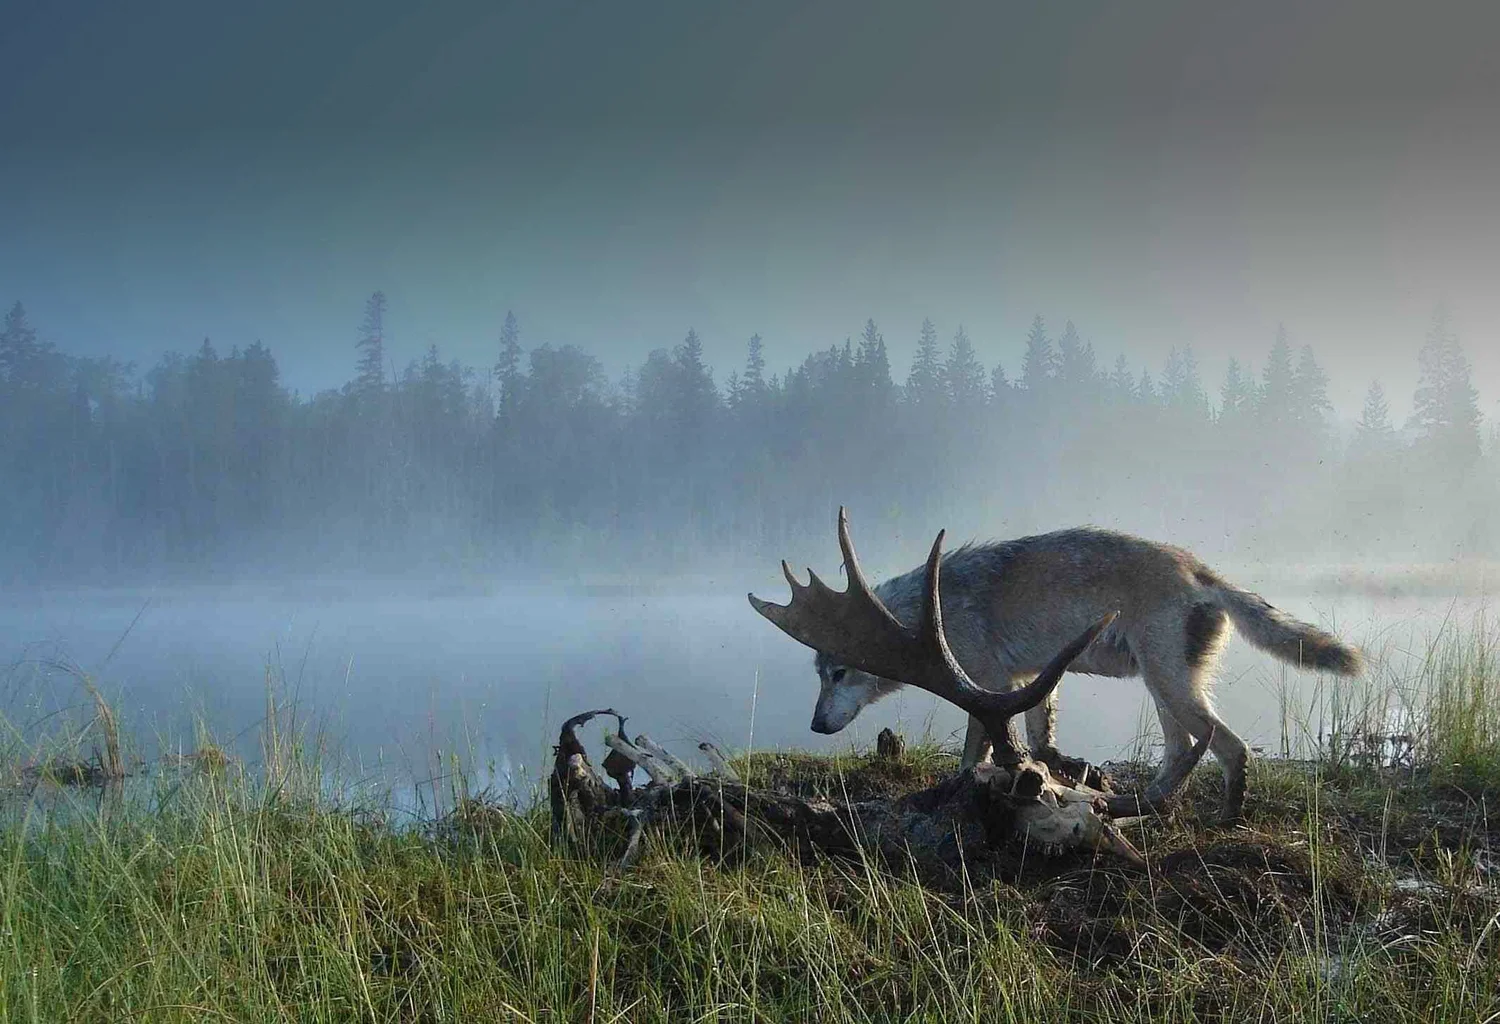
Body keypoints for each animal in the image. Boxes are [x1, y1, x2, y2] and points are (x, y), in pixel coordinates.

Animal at [750, 508, 1364, 822]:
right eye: (819, 675)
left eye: (838, 674)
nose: (814, 726)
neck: (922, 612)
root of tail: (1201, 571)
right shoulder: (1031, 680)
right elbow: (1040, 742)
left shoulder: (986, 684)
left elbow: (976, 749)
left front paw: (962, 790)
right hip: (1162, 687)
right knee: (1183, 750)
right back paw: (1136, 804)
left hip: (1168, 684)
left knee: (1226, 746)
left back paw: (1219, 820)